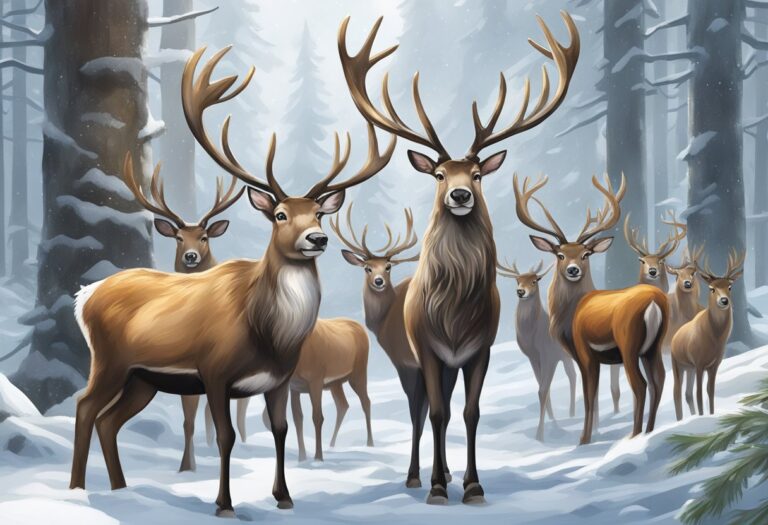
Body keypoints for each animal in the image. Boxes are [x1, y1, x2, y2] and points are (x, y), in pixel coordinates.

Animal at [261, 317, 373, 462]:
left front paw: (318, 457)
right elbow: (298, 418)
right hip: (335, 384)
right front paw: (302, 457)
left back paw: (370, 443)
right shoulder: (294, 387)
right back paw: (332, 445)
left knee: (366, 402)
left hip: (358, 373)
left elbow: (317, 417)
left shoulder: (316, 381)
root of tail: (362, 329)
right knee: (343, 405)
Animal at [332, 203, 458, 488]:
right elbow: (432, 411)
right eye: (367, 268)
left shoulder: (405, 361)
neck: (384, 320)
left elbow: (417, 415)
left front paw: (415, 475)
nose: (379, 281)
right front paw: (438, 472)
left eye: (388, 266)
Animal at [497, 260, 577, 441]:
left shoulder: (550, 356)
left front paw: (539, 435)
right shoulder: (533, 357)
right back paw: (571, 414)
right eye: (517, 280)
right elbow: (543, 388)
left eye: (535, 280)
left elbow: (543, 390)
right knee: (573, 375)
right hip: (567, 357)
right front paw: (552, 420)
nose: (520, 291)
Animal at [515, 173, 669, 445]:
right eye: (560, 254)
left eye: (585, 254)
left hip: (628, 343)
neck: (568, 315)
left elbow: (589, 395)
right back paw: (649, 431)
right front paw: (592, 433)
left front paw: (584, 439)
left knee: (640, 385)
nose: (573, 269)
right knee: (658, 381)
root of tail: (653, 302)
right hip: (653, 346)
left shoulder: (584, 350)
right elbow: (594, 396)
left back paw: (633, 435)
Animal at [671, 250, 744, 420]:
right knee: (677, 392)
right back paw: (679, 420)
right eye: (712, 288)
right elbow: (699, 393)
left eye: (729, 286)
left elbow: (710, 391)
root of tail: (674, 337)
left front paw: (710, 414)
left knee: (687, 393)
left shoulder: (714, 365)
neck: (714, 338)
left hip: (689, 367)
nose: (724, 300)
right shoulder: (699, 362)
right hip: (678, 363)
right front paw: (702, 416)